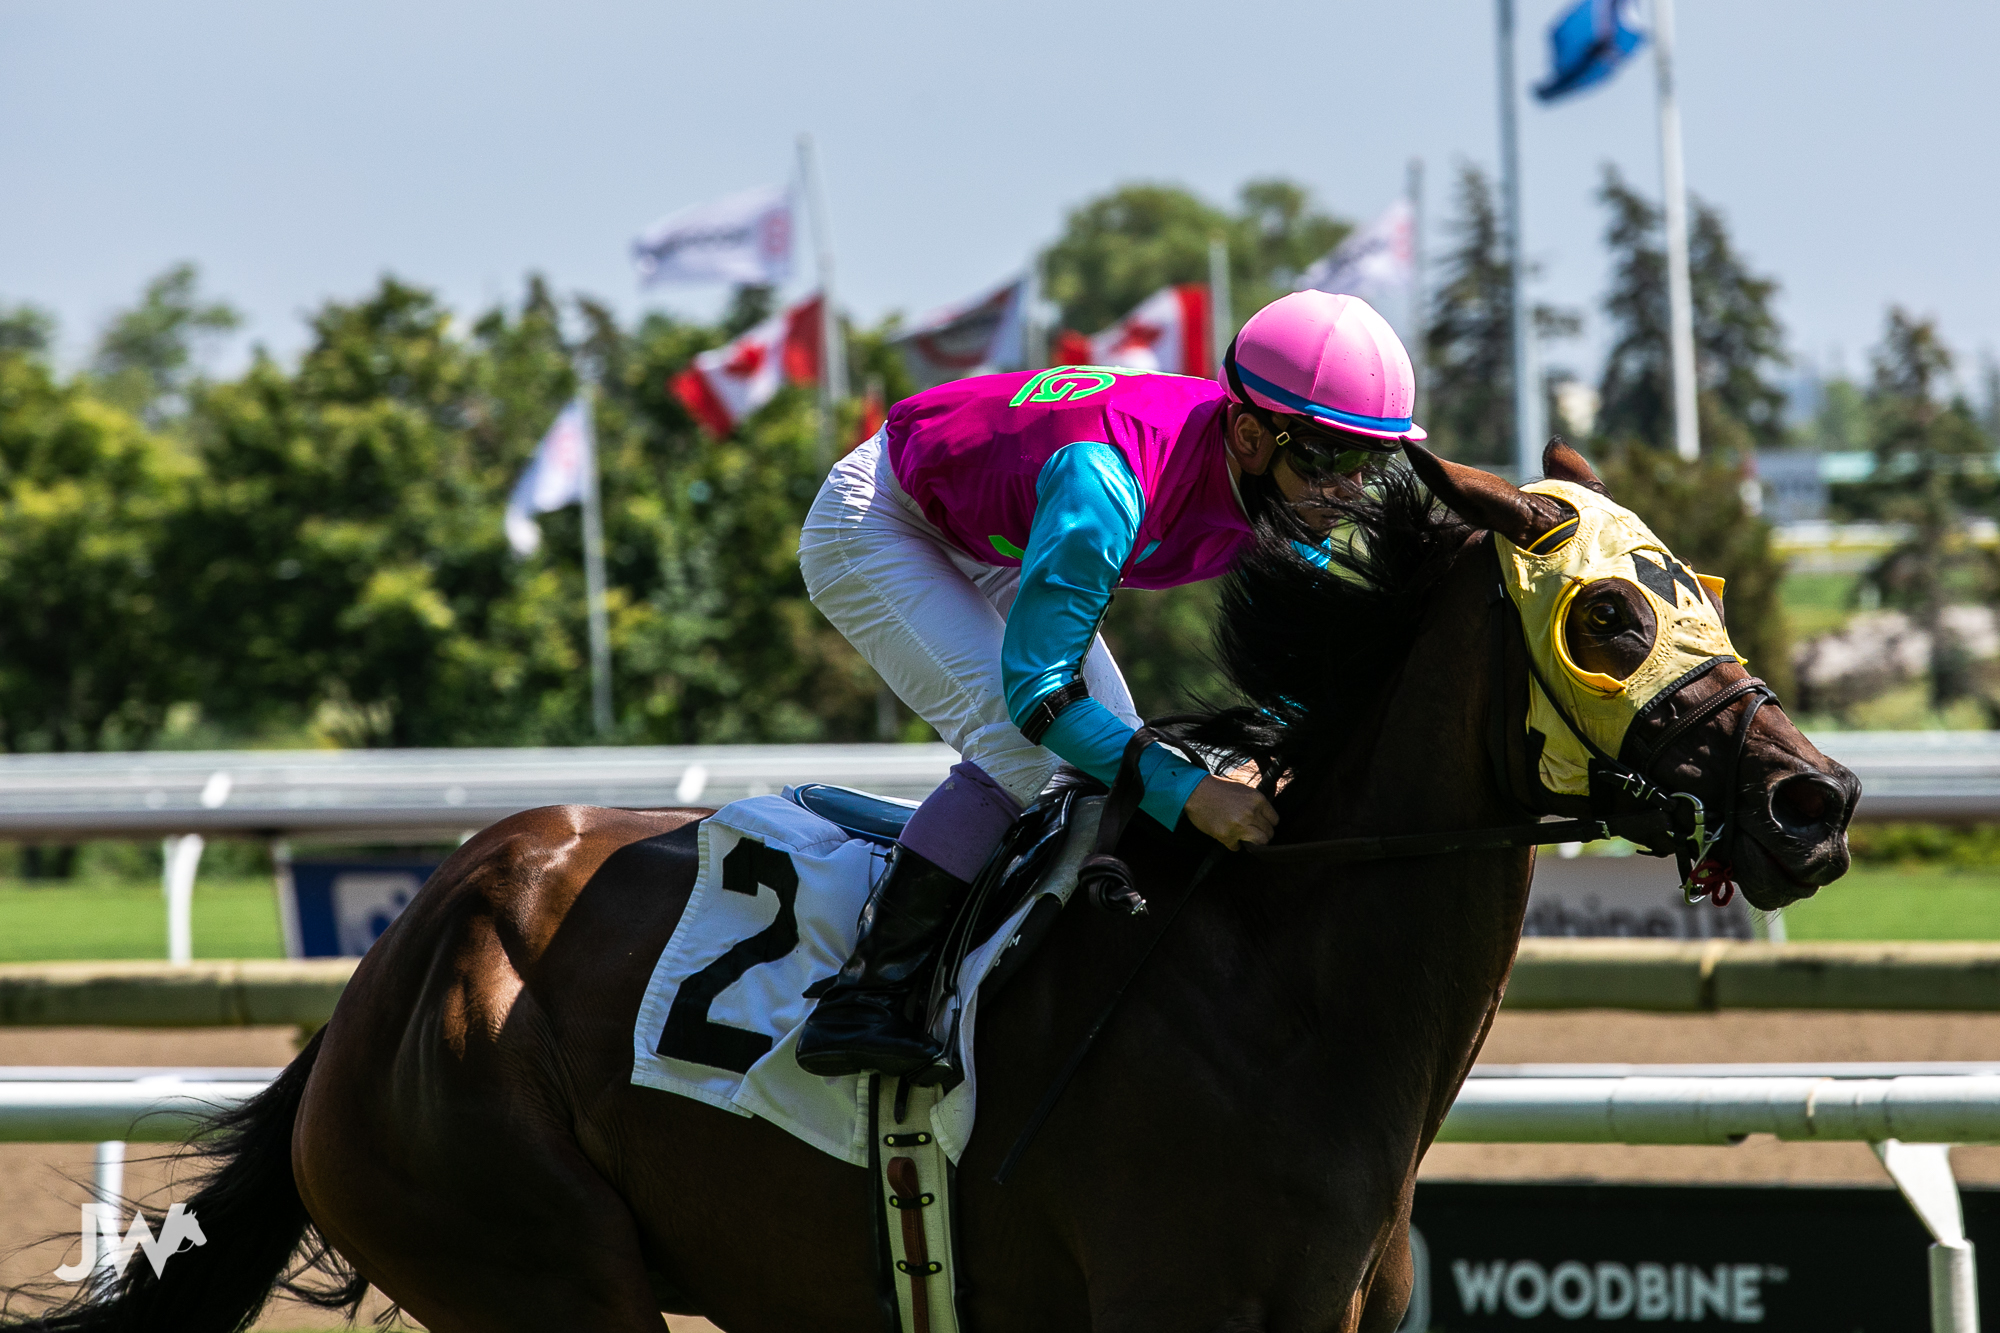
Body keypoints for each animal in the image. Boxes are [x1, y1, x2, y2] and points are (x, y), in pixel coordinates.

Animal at [5, 442, 1858, 1333]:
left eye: (1697, 588)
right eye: (1606, 617)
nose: (1816, 797)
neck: (1275, 987)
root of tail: (385, 983)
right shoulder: (1167, 1308)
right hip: (536, 1271)